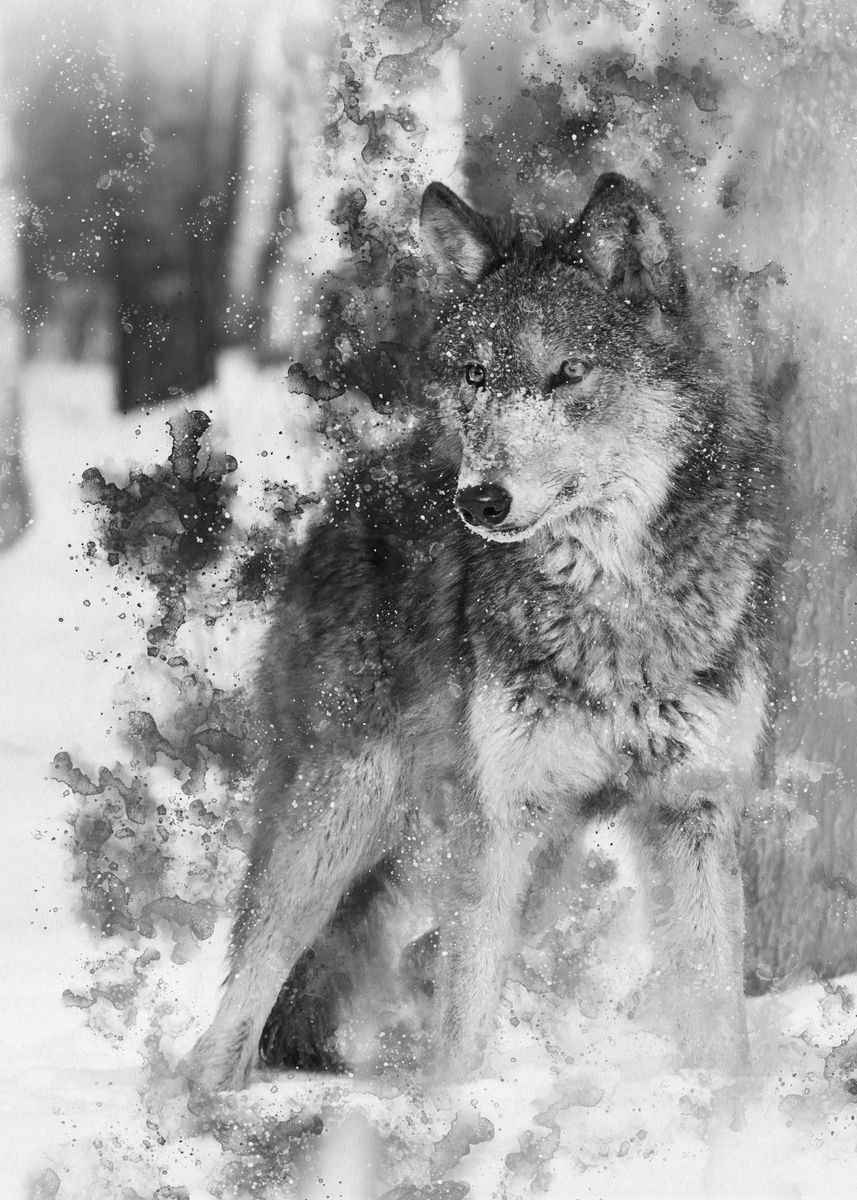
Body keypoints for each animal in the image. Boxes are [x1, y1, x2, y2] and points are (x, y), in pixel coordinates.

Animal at [188, 172, 778, 1092]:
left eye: (567, 373)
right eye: (474, 375)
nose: (479, 500)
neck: (615, 608)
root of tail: (344, 504)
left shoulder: (693, 810)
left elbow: (719, 1022)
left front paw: (729, 1114)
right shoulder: (499, 819)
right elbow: (465, 1026)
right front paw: (452, 1109)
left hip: (536, 849)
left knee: (426, 948)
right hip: (341, 811)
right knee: (244, 992)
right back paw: (208, 1103)